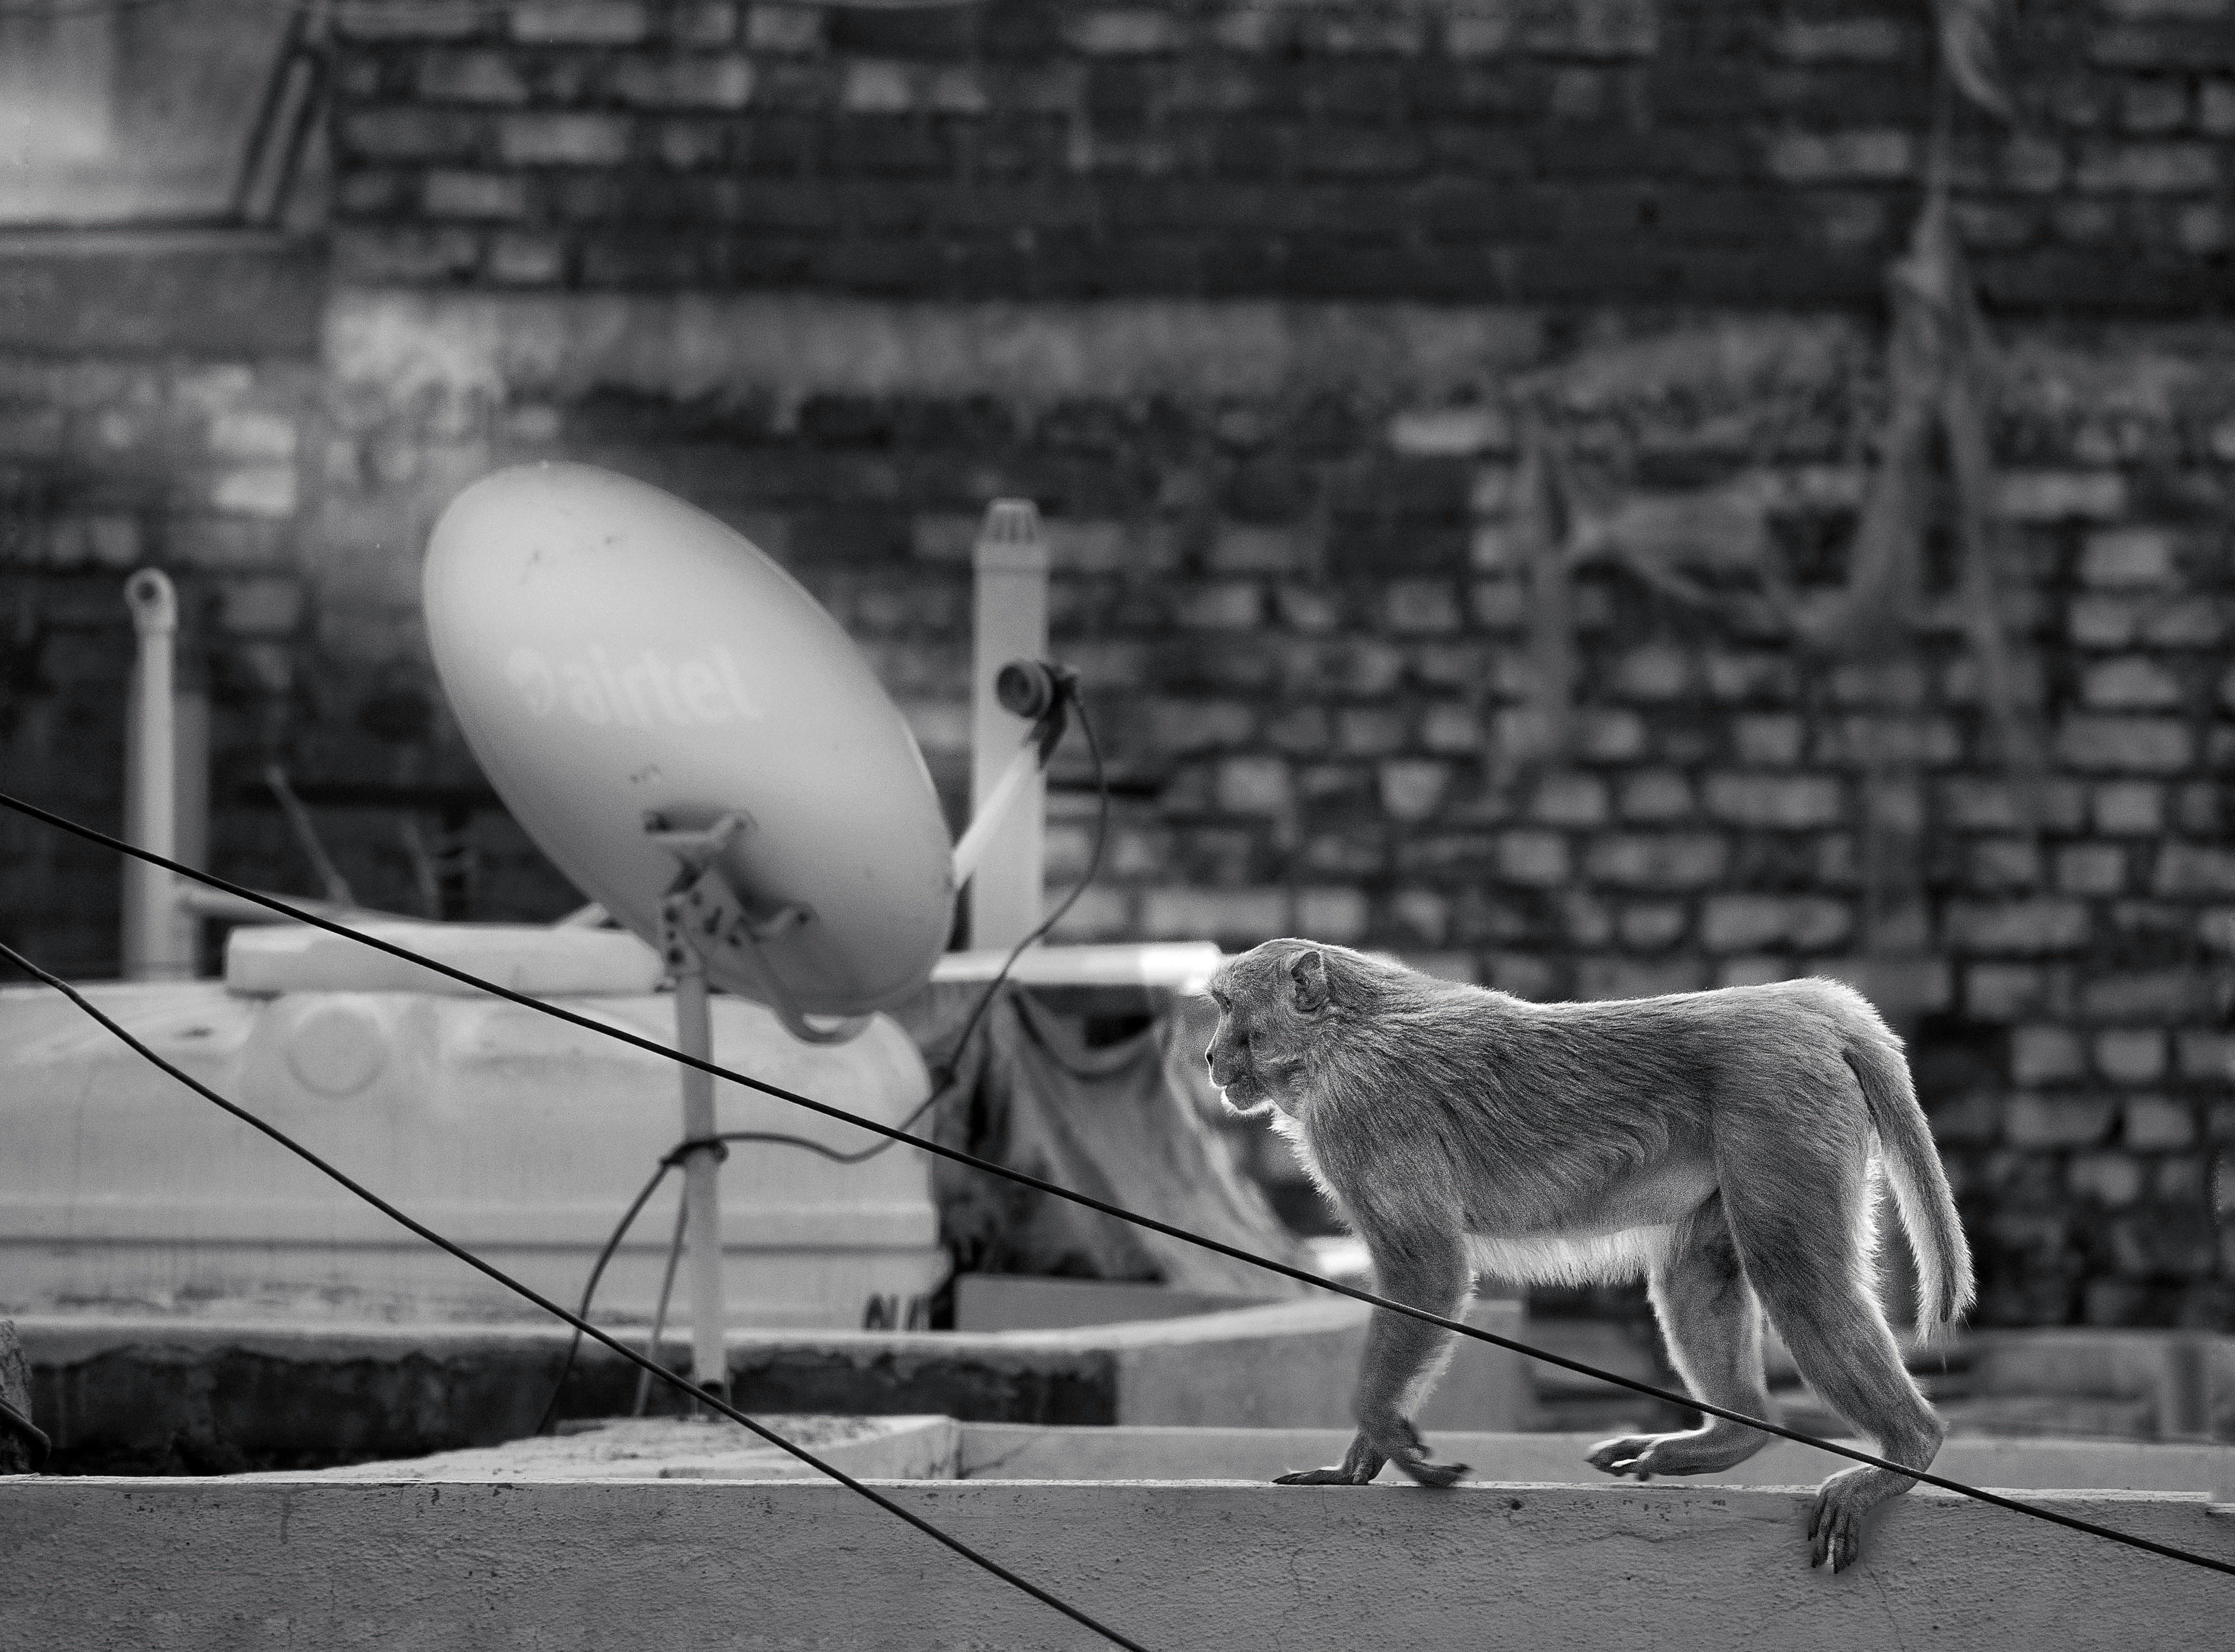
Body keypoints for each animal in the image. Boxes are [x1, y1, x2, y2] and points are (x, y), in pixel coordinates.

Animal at [1203, 939, 1973, 1573]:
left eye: (1224, 1007)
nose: (1210, 1056)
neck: (1342, 1030)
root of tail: (1812, 1009)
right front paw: (1365, 1456)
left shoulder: (1360, 1111)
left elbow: (1428, 1269)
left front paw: (1382, 1433)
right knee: (1698, 1271)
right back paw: (1729, 1435)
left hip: (1780, 1108)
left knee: (1795, 1279)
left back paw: (1905, 1451)